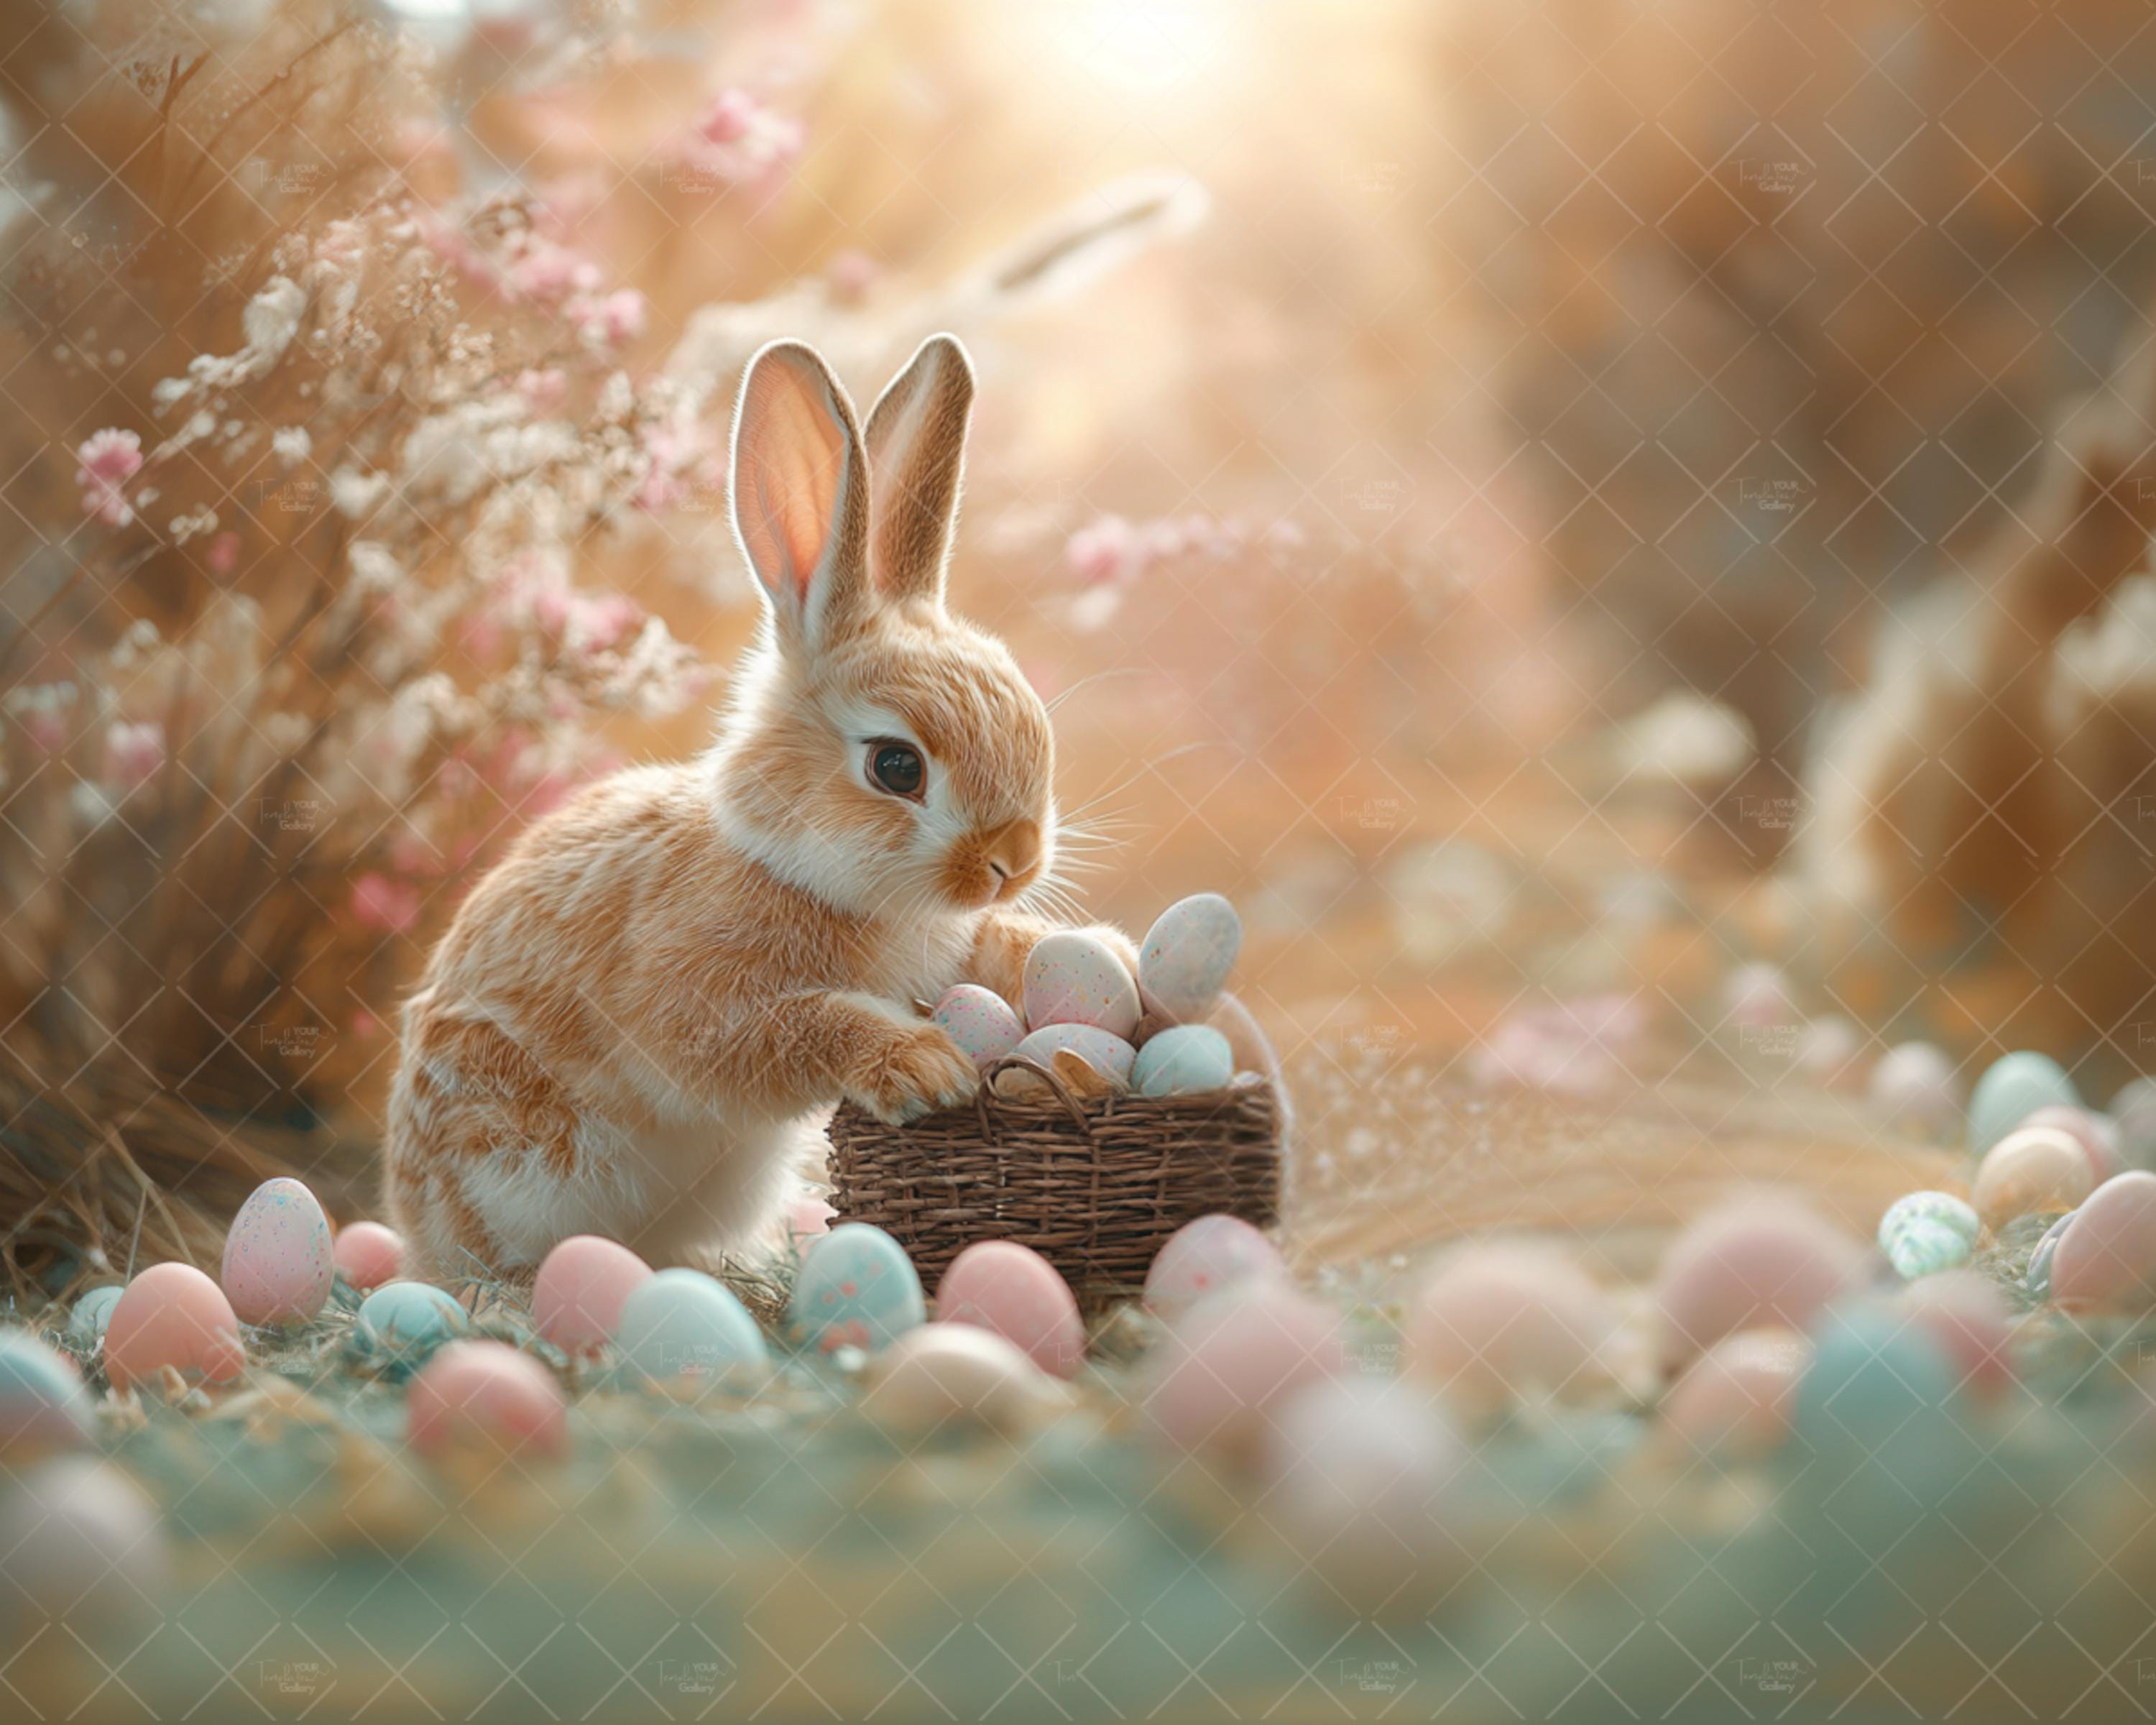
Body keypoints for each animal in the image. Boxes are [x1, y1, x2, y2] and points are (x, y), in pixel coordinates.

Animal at [384, 333, 1136, 1279]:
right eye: (897, 766)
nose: (1016, 861)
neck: (799, 866)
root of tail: (410, 1222)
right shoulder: (694, 1011)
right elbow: (799, 1023)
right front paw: (926, 1067)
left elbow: (1000, 950)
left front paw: (1117, 959)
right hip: (513, 1160)